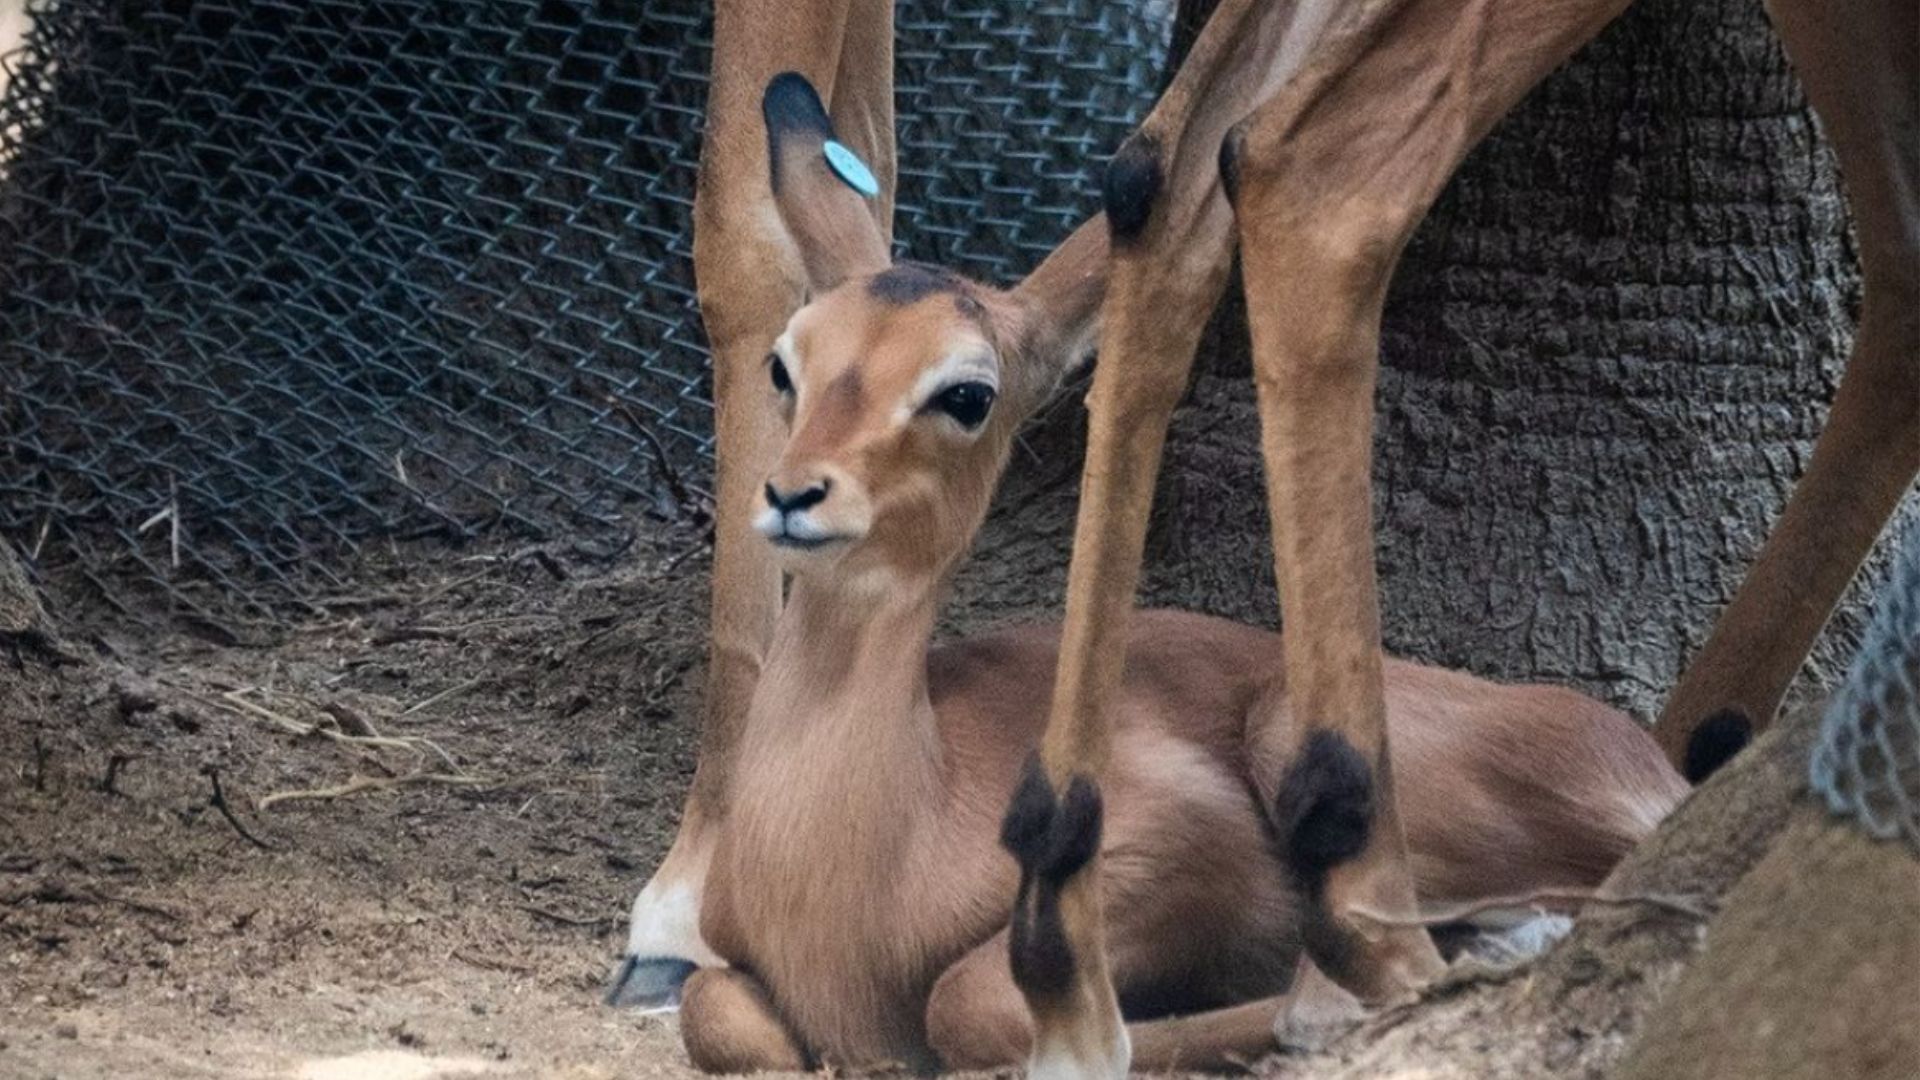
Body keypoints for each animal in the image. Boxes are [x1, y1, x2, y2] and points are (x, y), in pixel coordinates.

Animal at [616, 0, 1918, 1076]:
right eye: (792, 364)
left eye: (965, 392)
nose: (796, 494)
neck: (859, 836)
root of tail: (1638, 754)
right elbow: (720, 1011)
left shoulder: (1181, 850)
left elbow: (968, 1000)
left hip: (1297, 726)